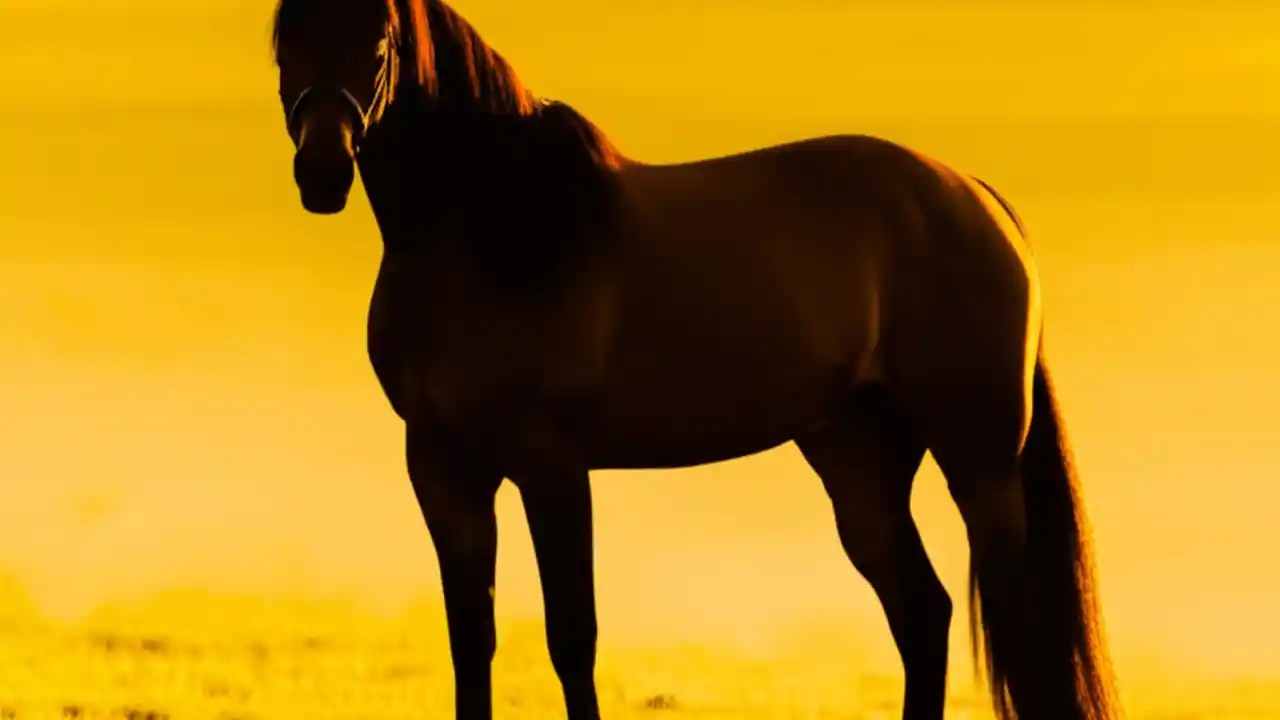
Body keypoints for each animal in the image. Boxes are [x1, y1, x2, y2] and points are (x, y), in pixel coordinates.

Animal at [268, 1, 1118, 718]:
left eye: (379, 42)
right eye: (284, 39)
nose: (323, 172)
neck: (496, 236)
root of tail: (972, 194)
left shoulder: (550, 465)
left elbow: (571, 638)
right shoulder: (443, 469)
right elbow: (470, 642)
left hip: (980, 463)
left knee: (1010, 618)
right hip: (858, 463)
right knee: (922, 613)